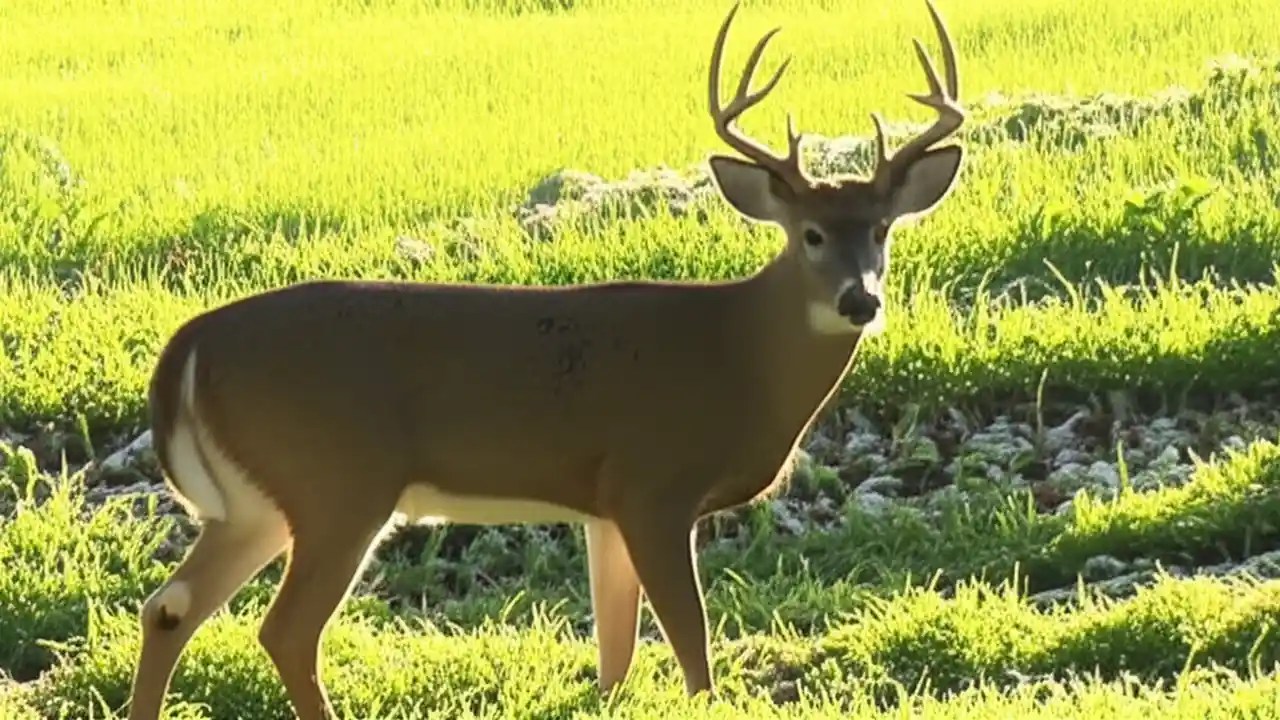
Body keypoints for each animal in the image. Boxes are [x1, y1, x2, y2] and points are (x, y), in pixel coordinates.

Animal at [124, 2, 965, 717]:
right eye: (810, 235)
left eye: (882, 229)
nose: (860, 301)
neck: (738, 353)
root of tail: (188, 347)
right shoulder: (654, 483)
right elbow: (691, 645)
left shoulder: (604, 503)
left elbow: (615, 655)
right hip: (338, 480)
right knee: (286, 629)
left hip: (260, 502)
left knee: (168, 607)